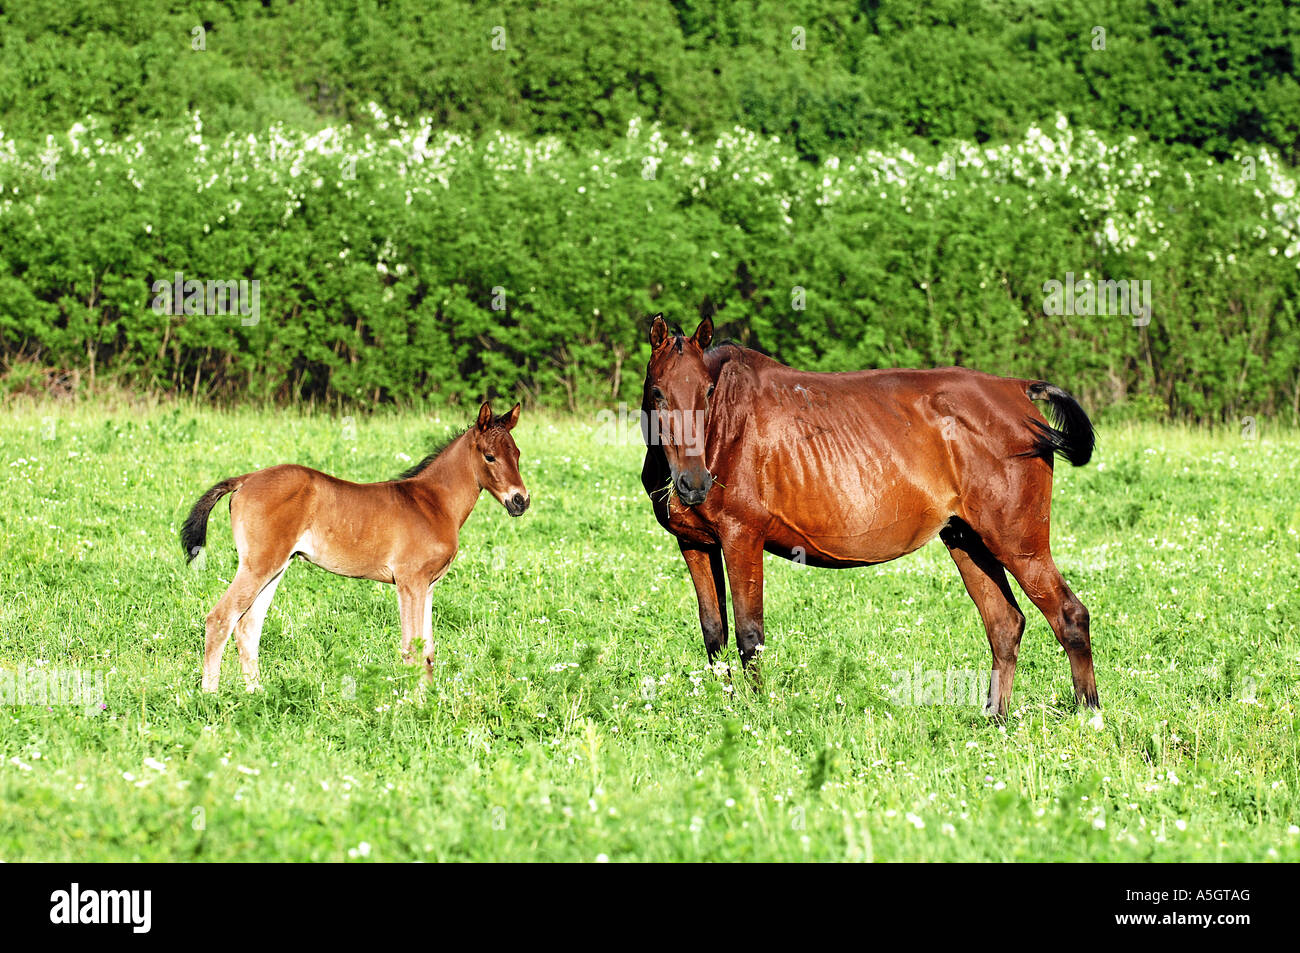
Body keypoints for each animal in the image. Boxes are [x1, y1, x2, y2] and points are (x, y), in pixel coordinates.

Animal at [181, 401, 529, 692]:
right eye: (489, 456)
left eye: (517, 454)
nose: (520, 501)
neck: (432, 502)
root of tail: (245, 479)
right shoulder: (410, 582)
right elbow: (411, 648)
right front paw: (413, 705)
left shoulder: (429, 585)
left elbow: (428, 650)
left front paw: (430, 701)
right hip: (258, 565)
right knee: (220, 619)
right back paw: (210, 696)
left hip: (275, 567)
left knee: (248, 628)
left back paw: (256, 693)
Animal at [639, 315, 1097, 716]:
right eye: (659, 393)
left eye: (707, 392)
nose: (694, 483)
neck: (727, 431)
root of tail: (1017, 390)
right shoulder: (696, 545)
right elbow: (713, 633)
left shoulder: (742, 539)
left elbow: (750, 635)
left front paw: (757, 711)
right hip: (968, 541)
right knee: (1005, 625)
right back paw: (995, 718)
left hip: (1019, 545)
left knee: (1069, 616)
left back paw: (1088, 714)